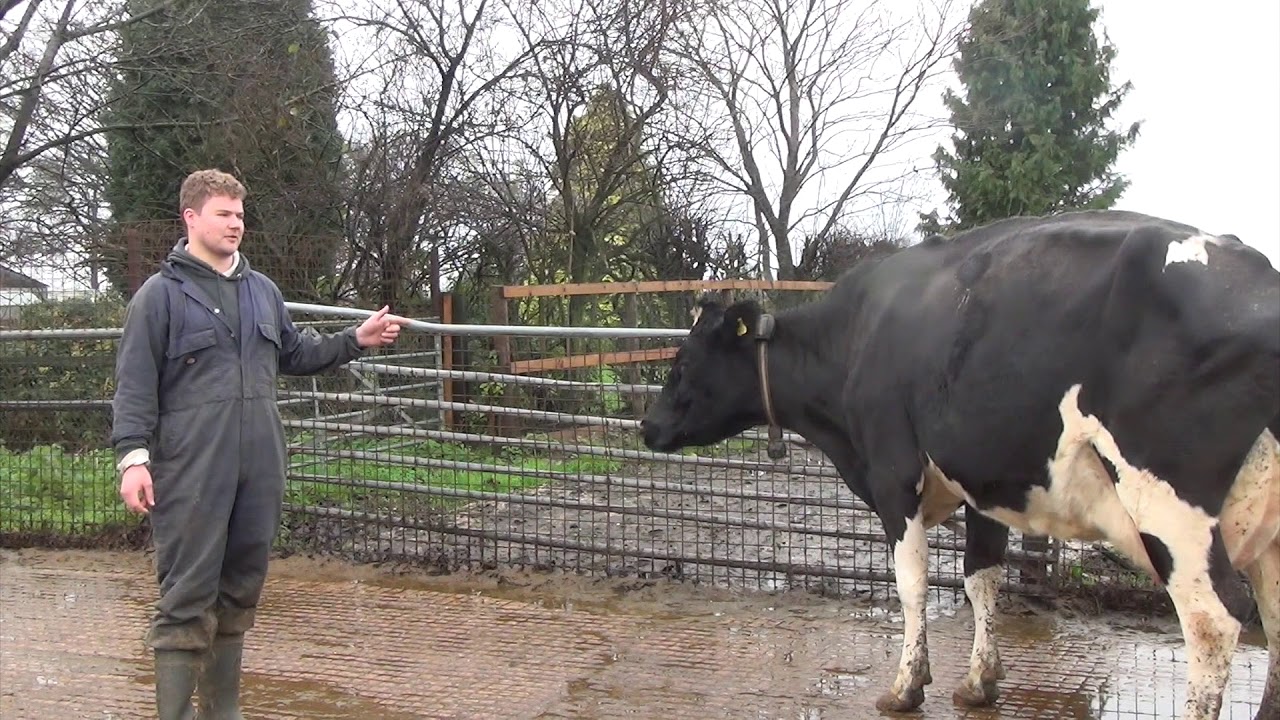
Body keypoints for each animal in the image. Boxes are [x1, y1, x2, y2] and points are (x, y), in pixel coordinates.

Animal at [639, 209, 1279, 720]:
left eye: (683, 362)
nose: (647, 426)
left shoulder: (893, 474)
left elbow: (913, 581)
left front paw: (906, 686)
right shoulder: (985, 483)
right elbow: (981, 577)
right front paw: (979, 680)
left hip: (1171, 507)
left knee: (1214, 618)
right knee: (1273, 612)